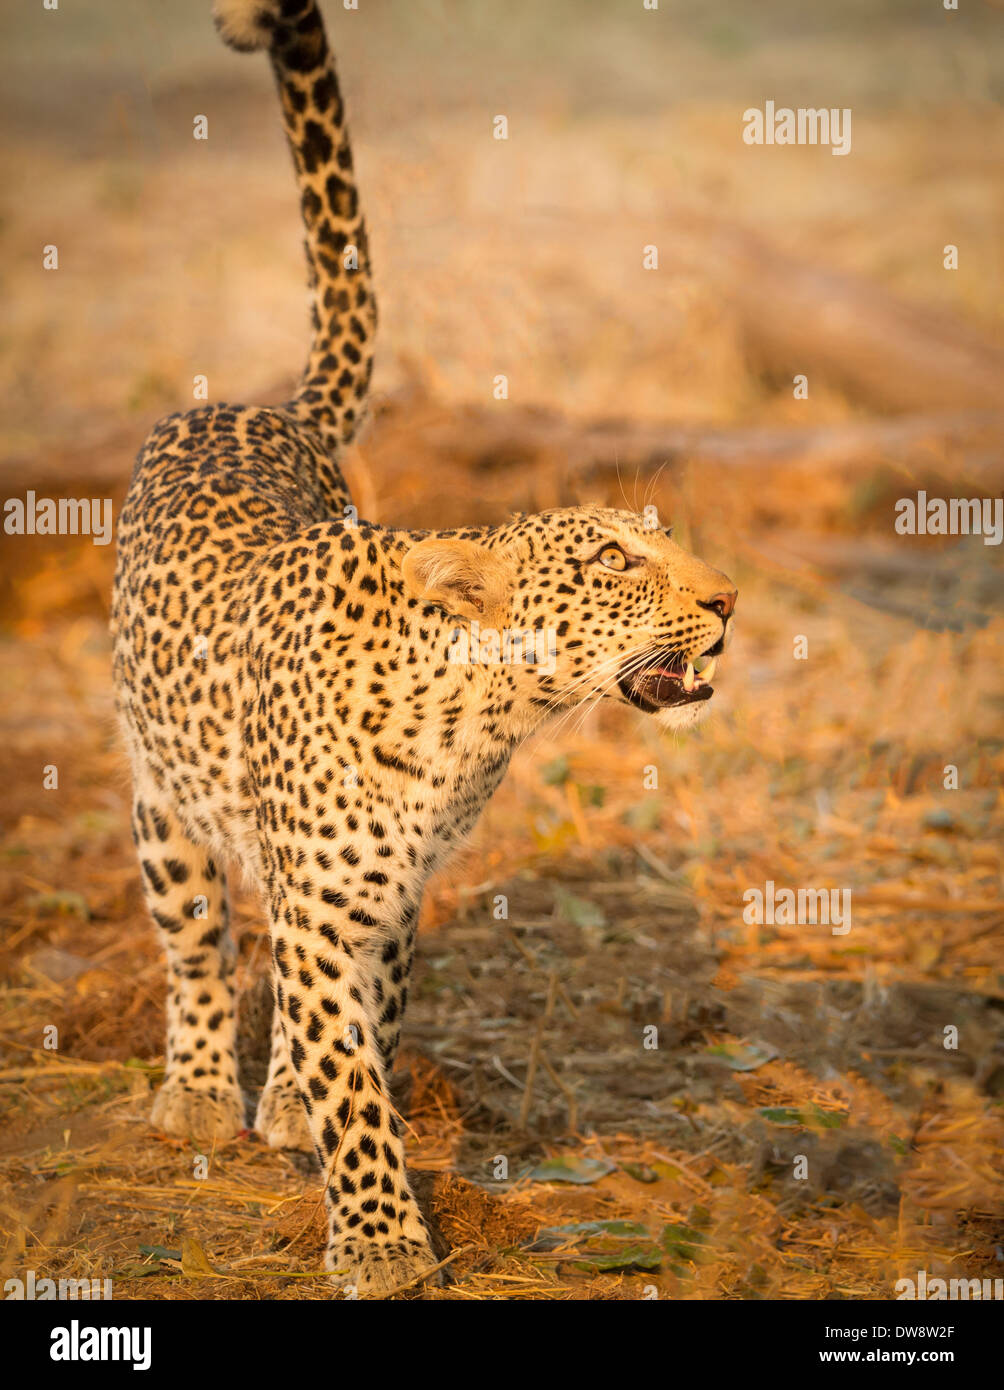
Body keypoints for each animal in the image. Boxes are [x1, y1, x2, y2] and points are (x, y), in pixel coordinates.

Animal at [110, 0, 738, 1294]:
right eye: (614, 559)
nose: (729, 601)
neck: (473, 723)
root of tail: (260, 407)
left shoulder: (386, 898)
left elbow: (363, 1034)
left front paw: (319, 1122)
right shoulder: (317, 888)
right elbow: (346, 1068)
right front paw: (383, 1238)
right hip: (162, 806)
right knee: (196, 945)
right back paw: (195, 1092)